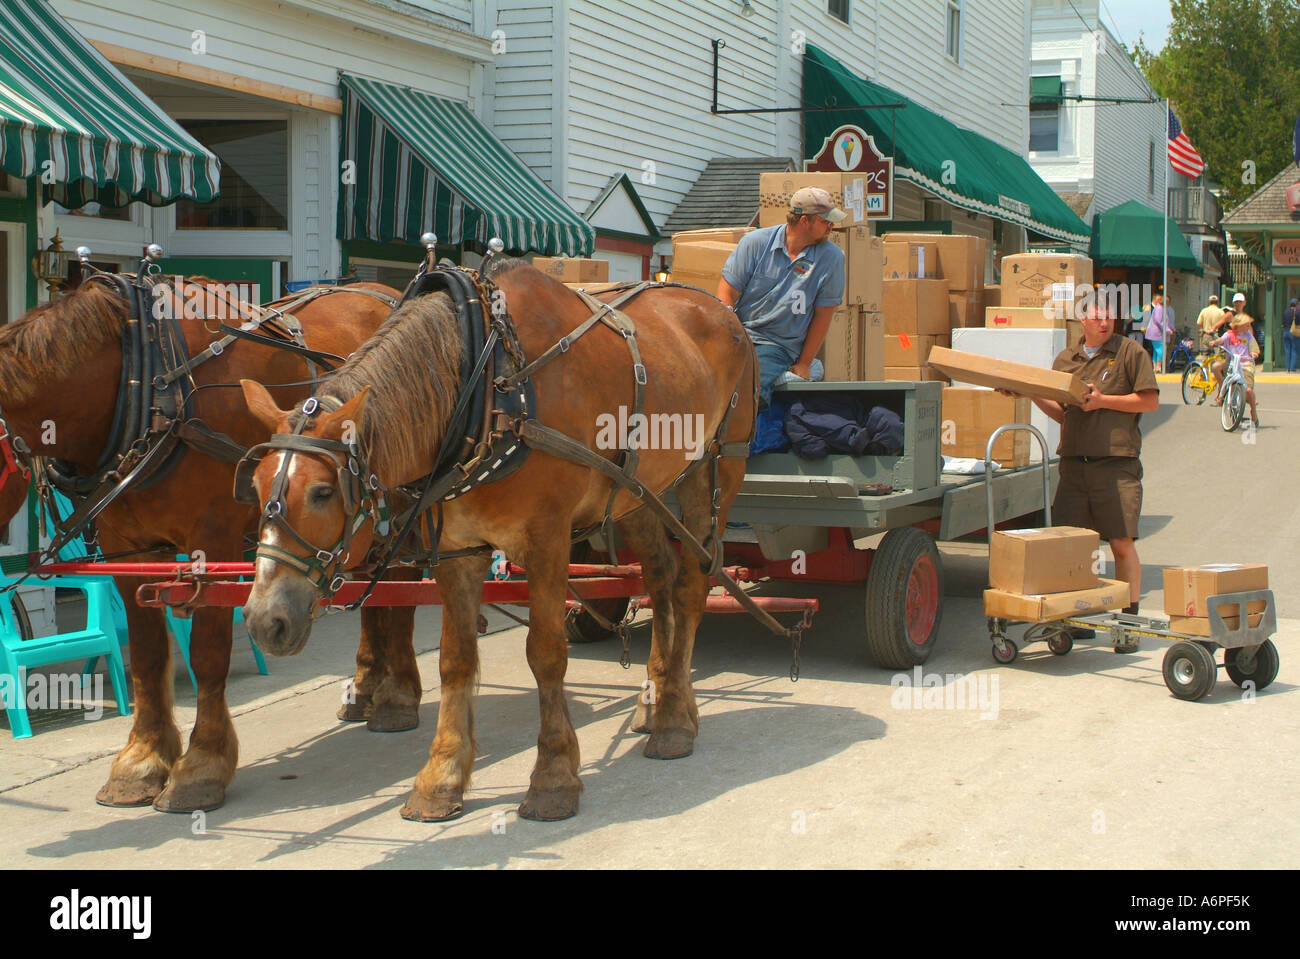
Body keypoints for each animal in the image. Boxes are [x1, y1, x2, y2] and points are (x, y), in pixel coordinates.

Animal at [0, 275, 419, 812]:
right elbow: (148, 655)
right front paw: (142, 761)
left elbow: (208, 653)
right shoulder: (129, 549)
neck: (147, 379)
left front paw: (201, 767)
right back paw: (365, 688)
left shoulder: (213, 539)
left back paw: (397, 698)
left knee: (404, 583)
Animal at [238, 259, 757, 822]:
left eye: (322, 492)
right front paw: (441, 777)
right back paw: (654, 700)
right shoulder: (457, 547)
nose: (264, 621)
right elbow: (455, 659)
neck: (488, 385)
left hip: (716, 470)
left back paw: (676, 719)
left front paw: (553, 777)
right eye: (255, 486)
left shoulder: (548, 537)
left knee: (691, 589)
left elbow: (546, 652)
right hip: (639, 491)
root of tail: (721, 311)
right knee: (661, 579)